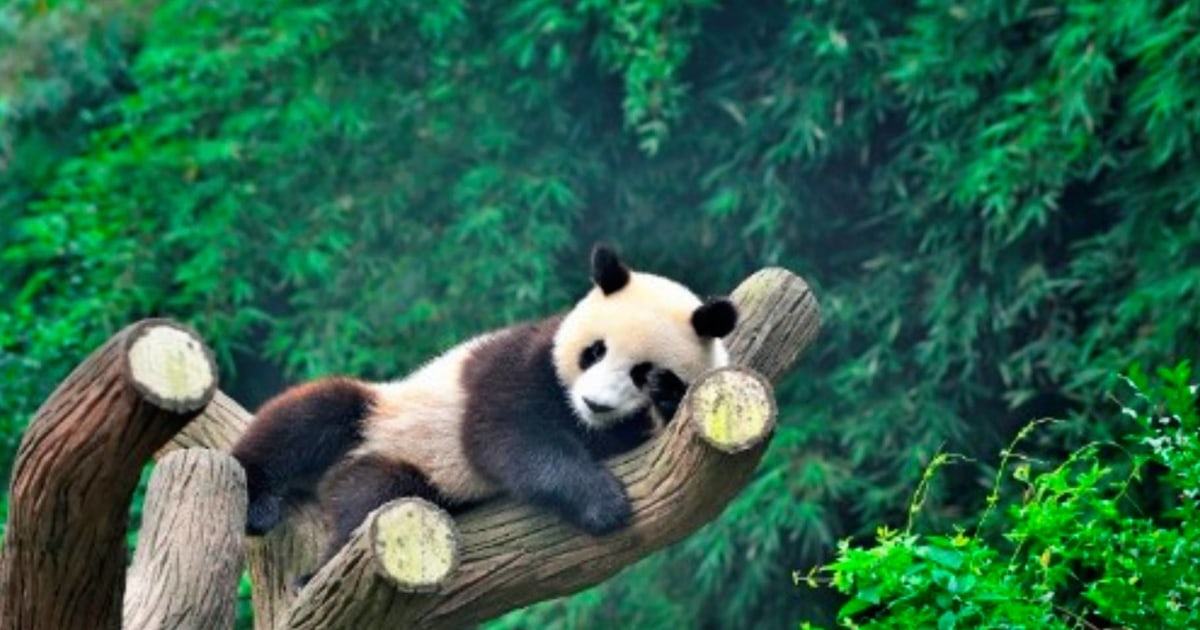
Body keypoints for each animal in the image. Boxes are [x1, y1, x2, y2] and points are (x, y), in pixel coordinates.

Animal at [231, 244, 738, 580]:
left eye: (640, 371)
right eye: (594, 351)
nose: (595, 403)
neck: (579, 417)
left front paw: (667, 397)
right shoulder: (519, 363)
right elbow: (507, 438)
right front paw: (603, 503)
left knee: (372, 491)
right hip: (385, 417)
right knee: (313, 419)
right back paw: (277, 525)